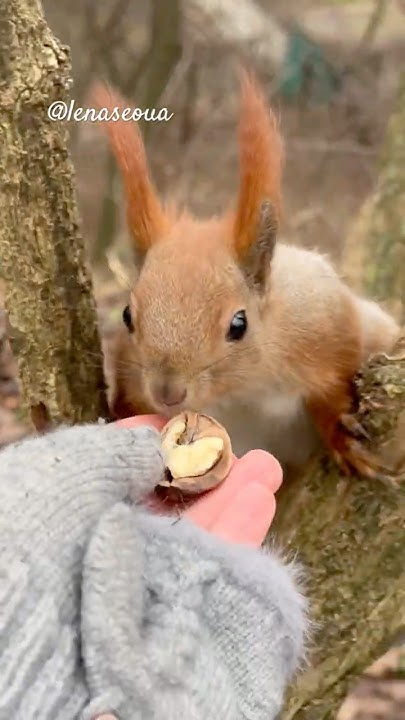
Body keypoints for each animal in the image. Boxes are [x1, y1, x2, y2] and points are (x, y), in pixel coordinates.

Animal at [94, 70, 400, 479]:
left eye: (239, 324)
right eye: (128, 316)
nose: (167, 392)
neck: (240, 391)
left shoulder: (323, 325)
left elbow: (332, 384)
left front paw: (342, 437)